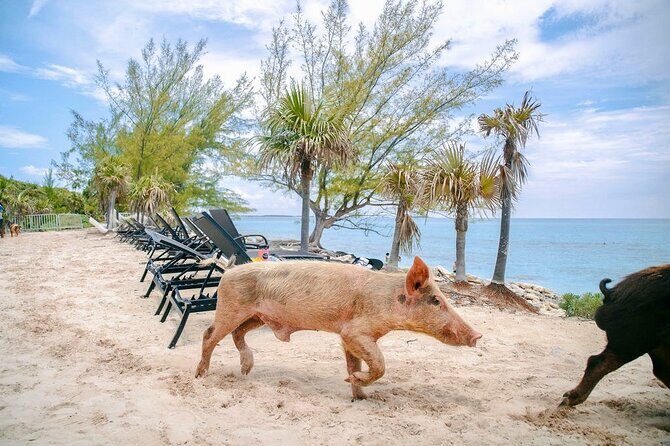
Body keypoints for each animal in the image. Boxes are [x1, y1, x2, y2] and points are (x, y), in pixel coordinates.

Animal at [195, 256, 482, 399]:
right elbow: (379, 363)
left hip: (256, 316)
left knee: (237, 333)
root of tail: (227, 271)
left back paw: (246, 370)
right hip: (231, 306)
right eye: (436, 301)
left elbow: (355, 364)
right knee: (209, 334)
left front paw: (359, 395)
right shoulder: (353, 331)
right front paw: (354, 382)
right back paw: (200, 376)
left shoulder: (351, 338)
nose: (478, 335)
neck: (387, 301)